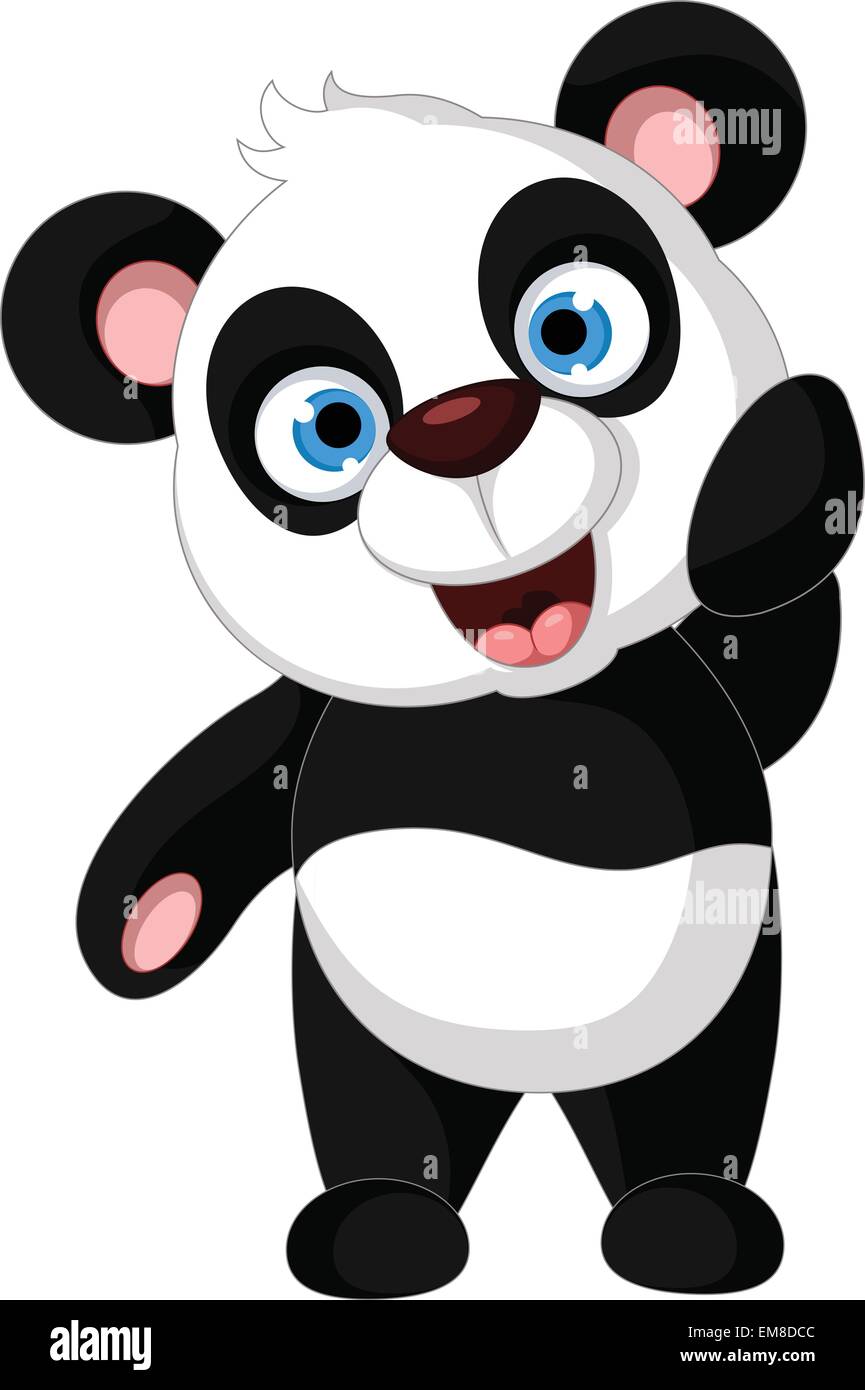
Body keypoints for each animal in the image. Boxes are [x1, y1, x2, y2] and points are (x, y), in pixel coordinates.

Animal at [3, 2, 861, 1300]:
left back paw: (684, 1218)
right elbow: (227, 783)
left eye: (572, 328)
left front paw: (775, 463)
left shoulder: (690, 689)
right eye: (328, 426)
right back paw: (381, 1224)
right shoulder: (312, 727)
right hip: (361, 1017)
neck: (530, 699)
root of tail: (538, 1081)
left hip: (703, 1003)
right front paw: (146, 923)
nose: (462, 430)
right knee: (384, 1114)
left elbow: (775, 668)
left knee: (686, 1104)